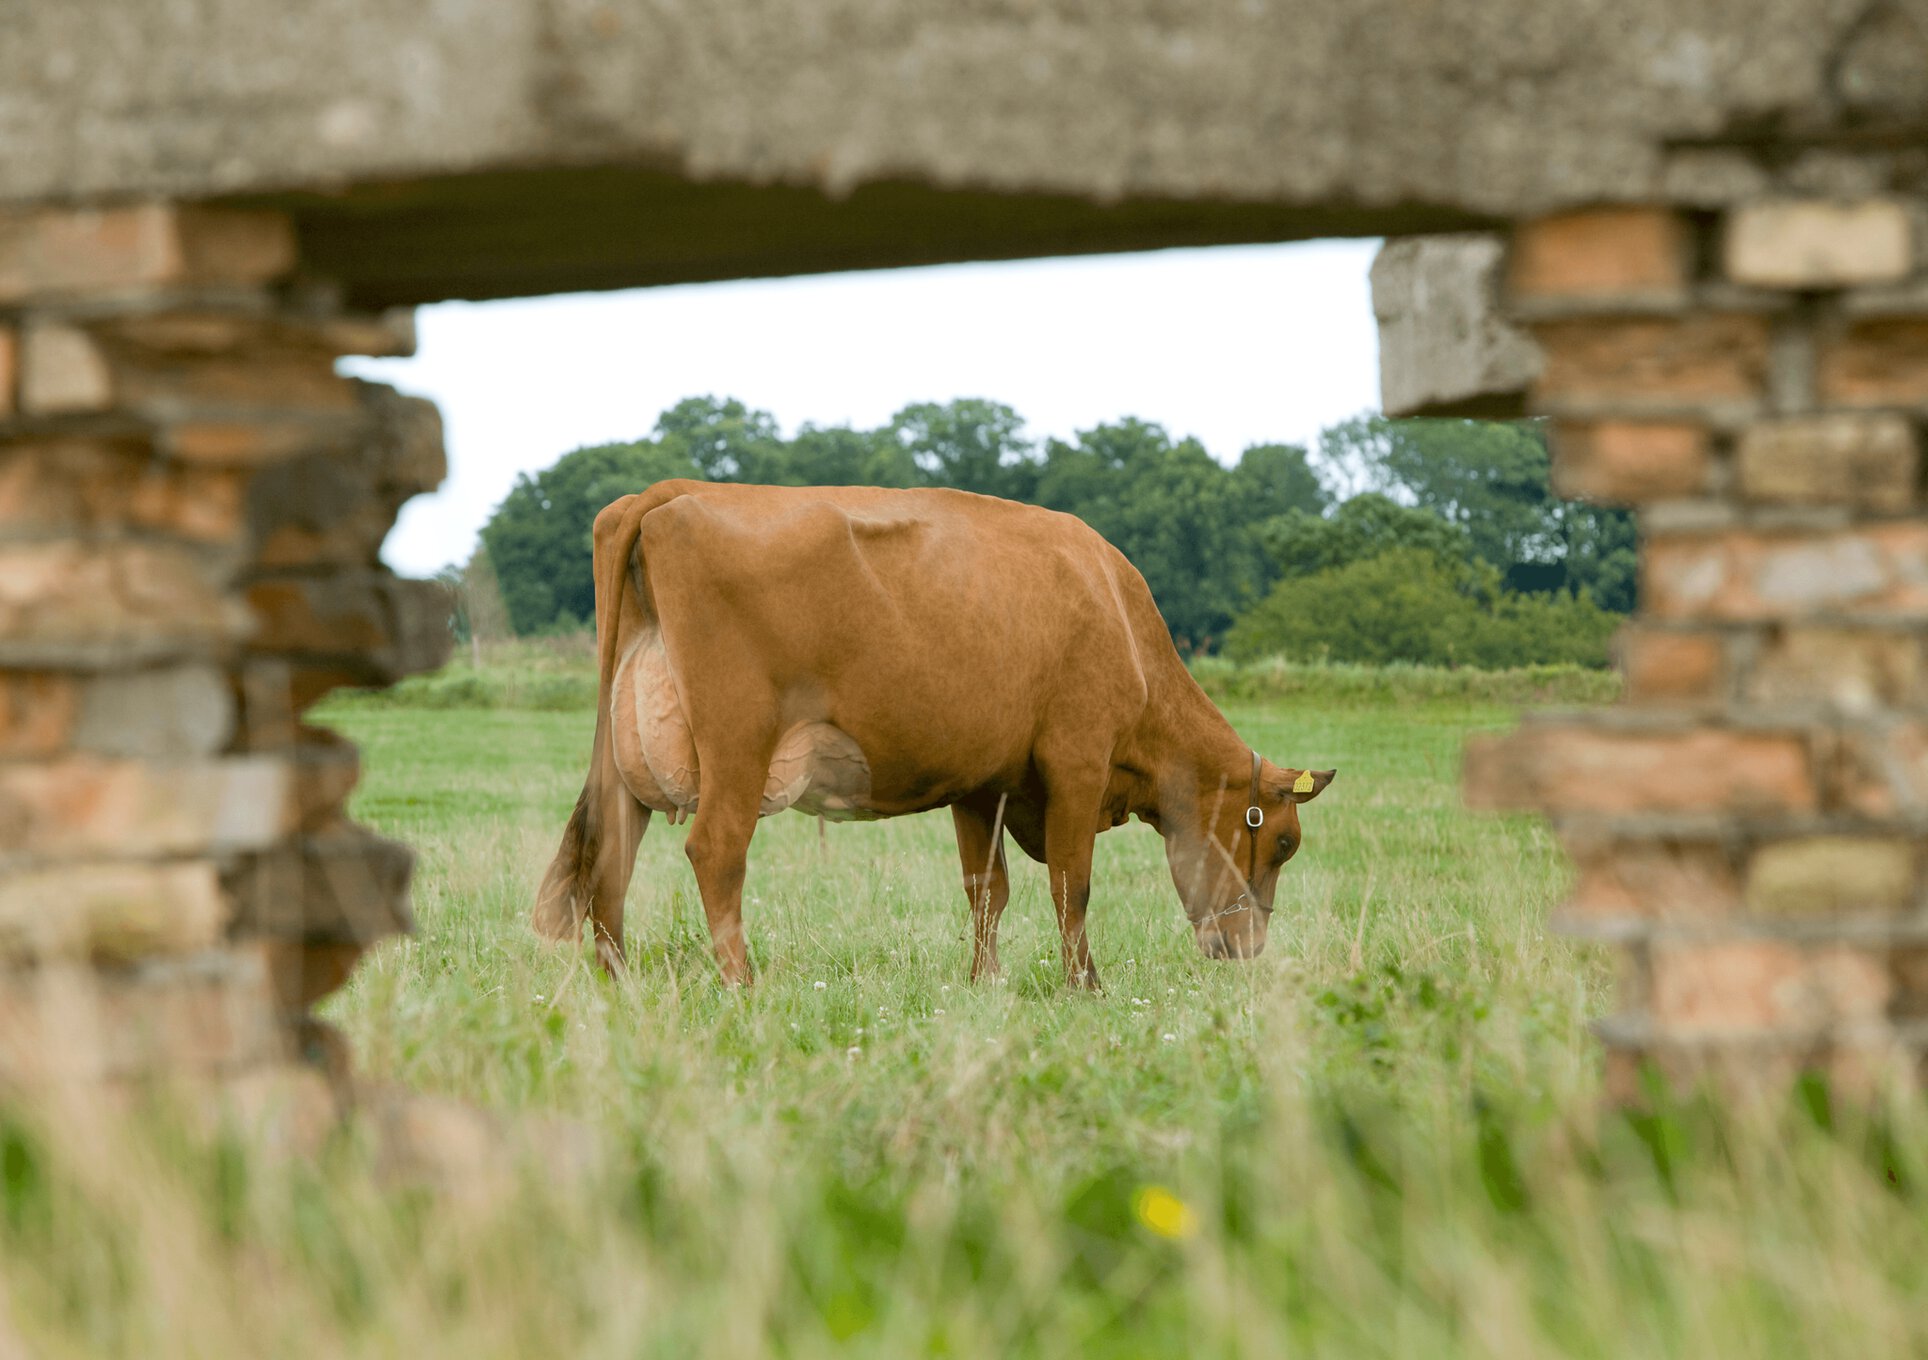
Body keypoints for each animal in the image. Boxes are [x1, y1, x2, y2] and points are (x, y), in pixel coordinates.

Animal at [533, 480, 1334, 988]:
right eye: (1282, 842)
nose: (1246, 948)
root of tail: (670, 492)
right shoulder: (1077, 760)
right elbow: (1071, 884)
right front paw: (1086, 985)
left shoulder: (982, 783)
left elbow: (987, 890)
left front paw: (986, 982)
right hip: (739, 744)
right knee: (715, 851)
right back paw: (742, 983)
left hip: (624, 756)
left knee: (611, 853)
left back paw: (620, 983)